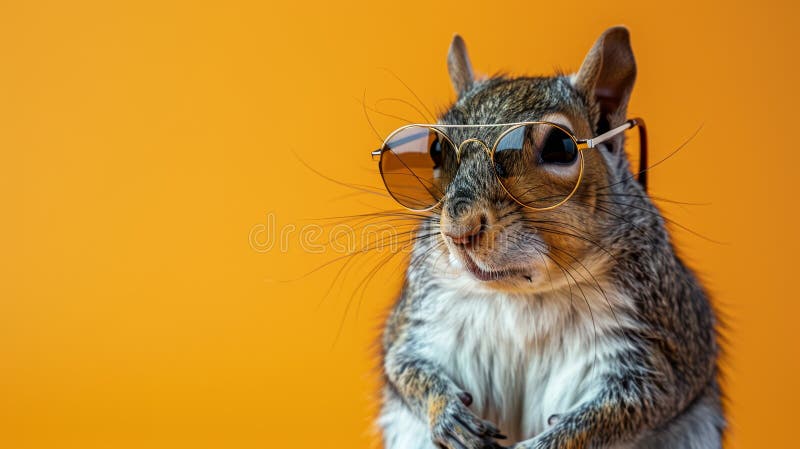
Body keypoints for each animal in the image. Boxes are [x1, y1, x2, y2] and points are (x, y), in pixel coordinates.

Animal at [377, 27, 725, 449]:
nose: (459, 231)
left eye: (560, 147)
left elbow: (642, 399)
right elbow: (403, 365)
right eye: (436, 149)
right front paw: (446, 413)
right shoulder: (419, 320)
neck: (524, 296)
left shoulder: (657, 338)